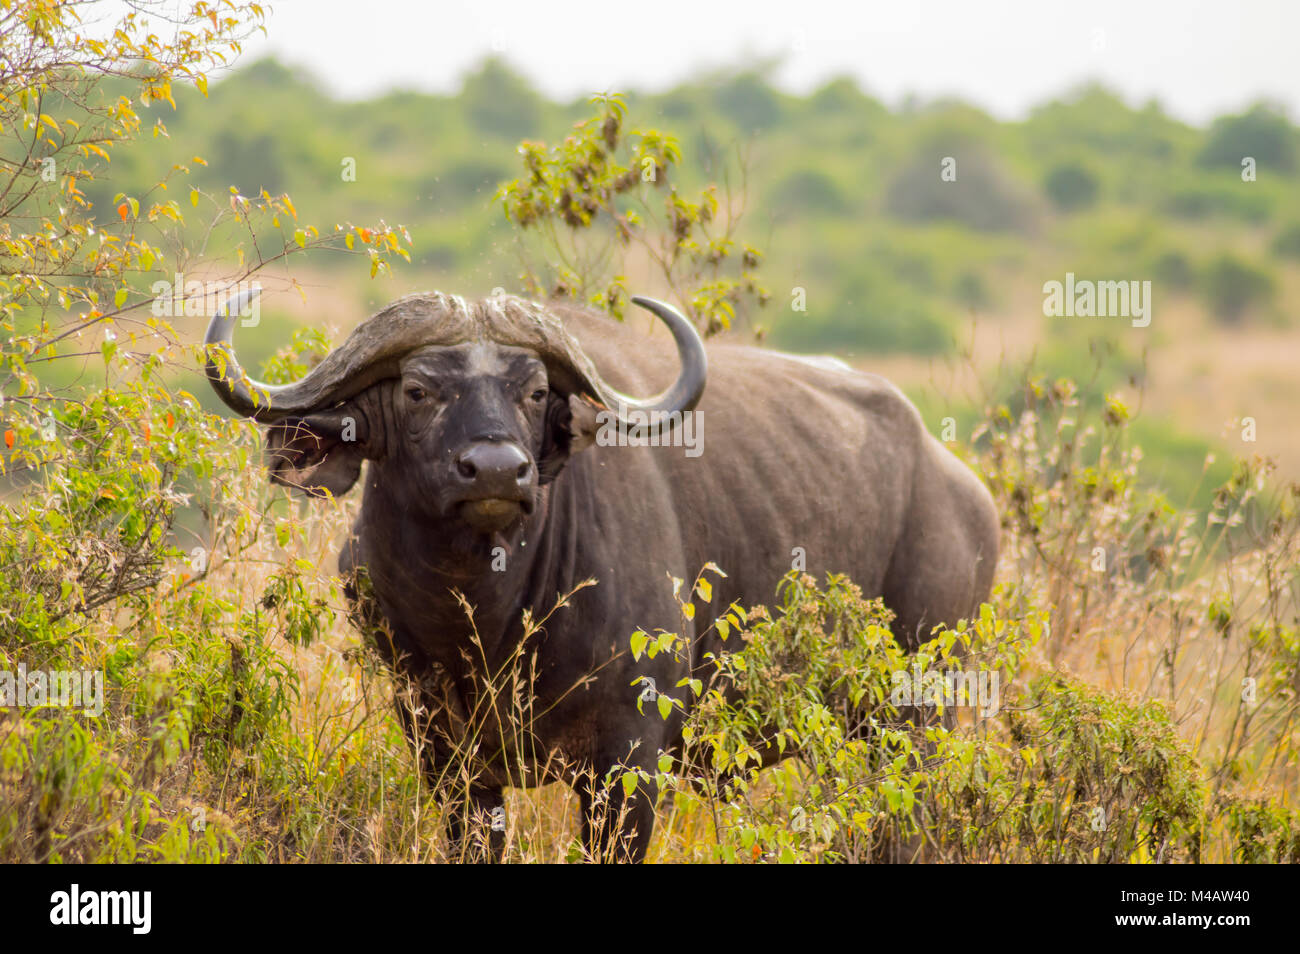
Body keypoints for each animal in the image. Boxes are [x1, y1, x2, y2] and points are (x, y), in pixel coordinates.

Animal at [204, 290, 998, 862]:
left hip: (915, 717)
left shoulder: (628, 762)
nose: (498, 470)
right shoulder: (445, 754)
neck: (489, 621)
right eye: (417, 391)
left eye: (532, 392)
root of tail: (965, 491)